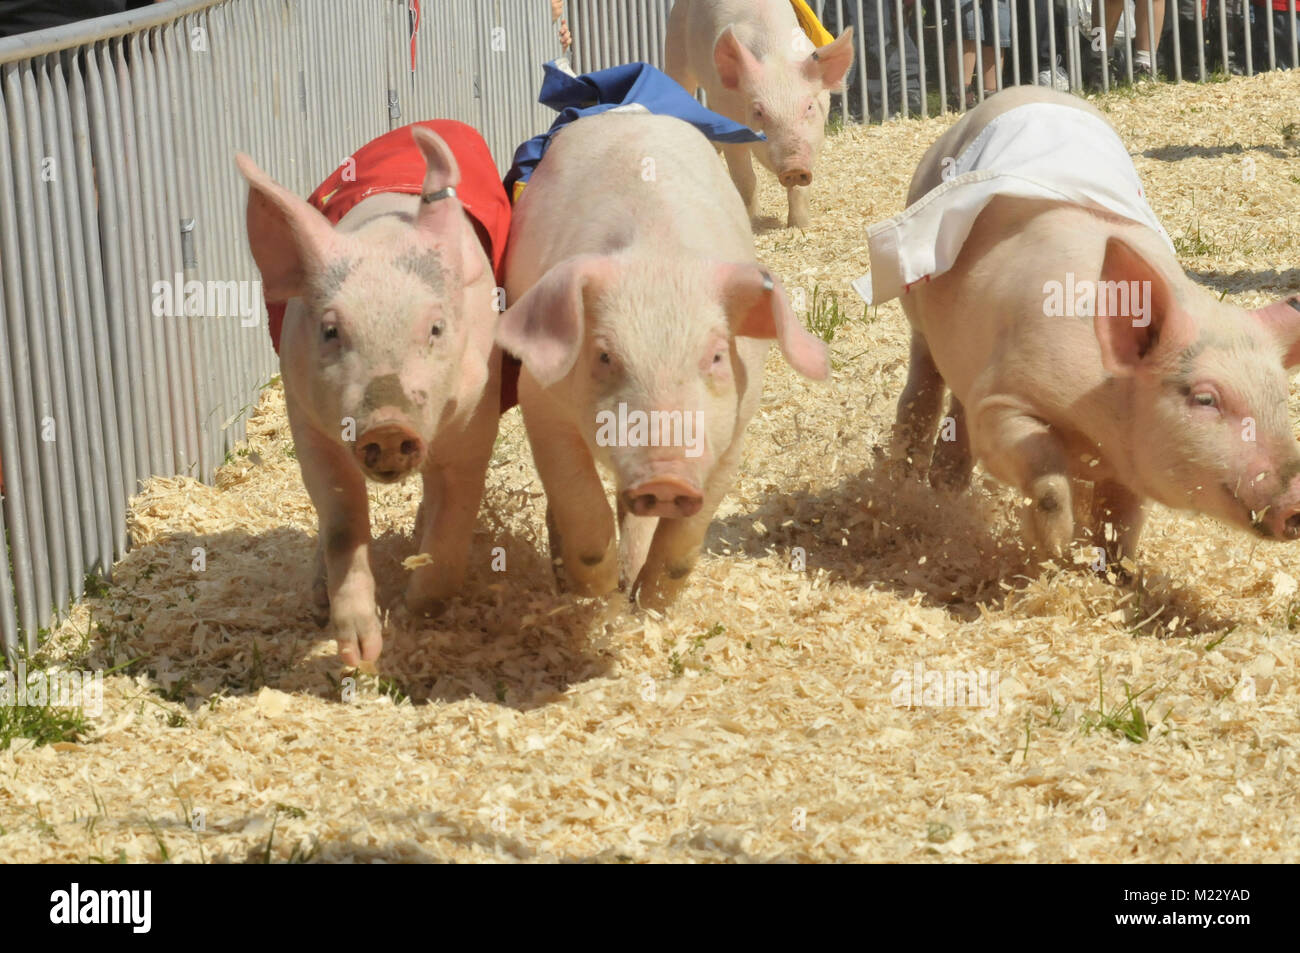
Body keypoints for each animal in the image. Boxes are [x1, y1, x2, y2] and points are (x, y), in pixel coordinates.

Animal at [236, 126, 501, 665]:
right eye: (331, 330)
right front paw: (360, 654)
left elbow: (455, 515)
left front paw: (415, 611)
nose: (389, 426)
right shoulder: (305, 417)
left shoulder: (476, 415)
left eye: (436, 328)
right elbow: (341, 521)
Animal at [497, 112, 829, 608]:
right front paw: (599, 600)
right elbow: (581, 505)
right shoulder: (540, 401)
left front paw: (650, 606)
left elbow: (685, 536)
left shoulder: (735, 423)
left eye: (716, 356)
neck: (659, 257)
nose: (666, 480)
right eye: (605, 355)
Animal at [665, 0, 854, 228]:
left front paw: (799, 225)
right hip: (675, 46)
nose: (794, 167)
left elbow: (800, 190)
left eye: (809, 107)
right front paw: (754, 223)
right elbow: (745, 179)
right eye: (758, 112)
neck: (775, 54)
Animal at [885, 87, 1300, 565]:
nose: (1296, 504)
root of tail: (1024, 89)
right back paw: (907, 482)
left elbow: (1120, 518)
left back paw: (945, 487)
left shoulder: (1130, 464)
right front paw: (1054, 548)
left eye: (1282, 400)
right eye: (1205, 398)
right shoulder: (1004, 395)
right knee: (923, 388)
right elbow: (1043, 471)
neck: (1096, 425)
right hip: (917, 303)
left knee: (956, 405)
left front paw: (1116, 569)